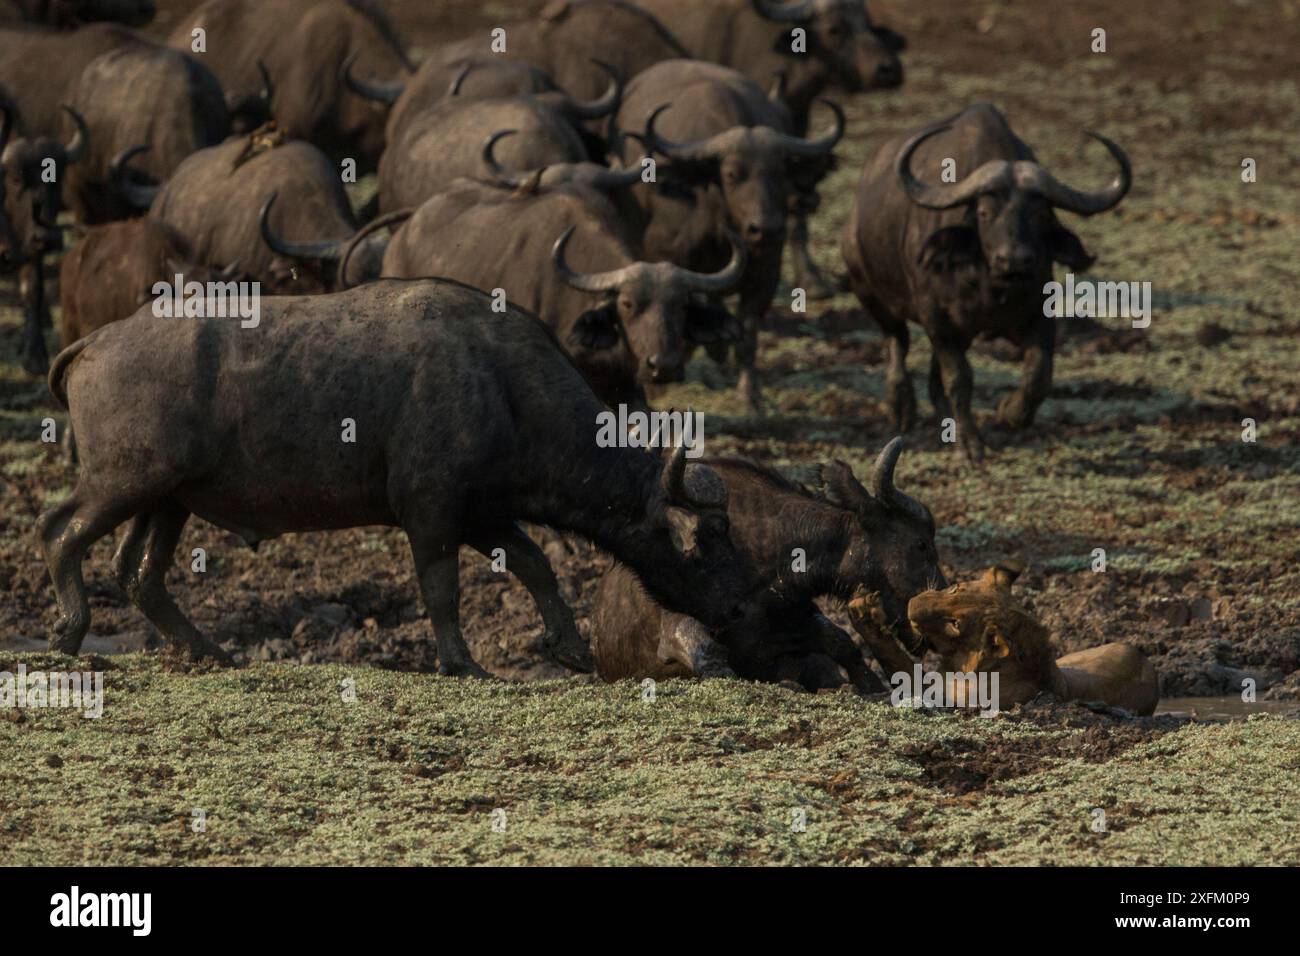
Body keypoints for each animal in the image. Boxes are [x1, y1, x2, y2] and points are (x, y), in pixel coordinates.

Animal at [40, 279, 759, 675]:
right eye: (707, 537)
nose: (738, 607)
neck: (503, 386)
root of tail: (94, 343)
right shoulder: (431, 510)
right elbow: (442, 591)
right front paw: (462, 662)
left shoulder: (482, 511)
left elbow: (535, 563)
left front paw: (569, 646)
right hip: (121, 482)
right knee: (57, 531)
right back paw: (70, 630)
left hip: (167, 498)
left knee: (138, 573)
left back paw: (207, 650)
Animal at [841, 103, 1131, 463]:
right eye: (983, 212)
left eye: (1040, 214)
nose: (1014, 260)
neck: (989, 287)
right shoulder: (937, 321)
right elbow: (959, 377)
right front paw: (970, 444)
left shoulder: (1038, 316)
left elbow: (1039, 373)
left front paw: (1010, 413)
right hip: (868, 291)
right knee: (898, 341)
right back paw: (901, 408)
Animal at [850, 562, 1159, 715]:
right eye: (956, 589)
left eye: (955, 624)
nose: (911, 605)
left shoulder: (939, 694)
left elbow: (895, 660)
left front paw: (863, 612)